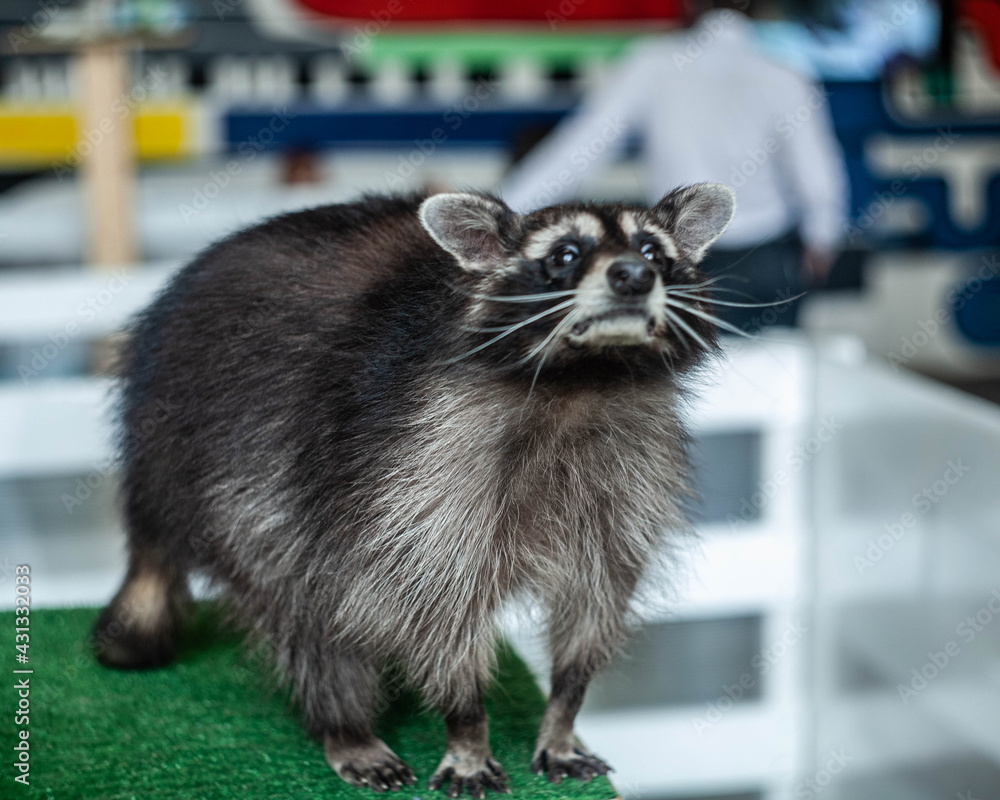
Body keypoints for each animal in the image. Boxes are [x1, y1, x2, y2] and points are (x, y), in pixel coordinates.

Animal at [93, 184, 735, 796]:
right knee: (297, 588)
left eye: (653, 250)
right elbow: (433, 603)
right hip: (222, 452)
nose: (634, 275)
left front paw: (562, 712)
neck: (584, 381)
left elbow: (598, 596)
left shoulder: (627, 474)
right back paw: (345, 724)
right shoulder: (414, 462)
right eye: (565, 255)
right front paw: (467, 725)